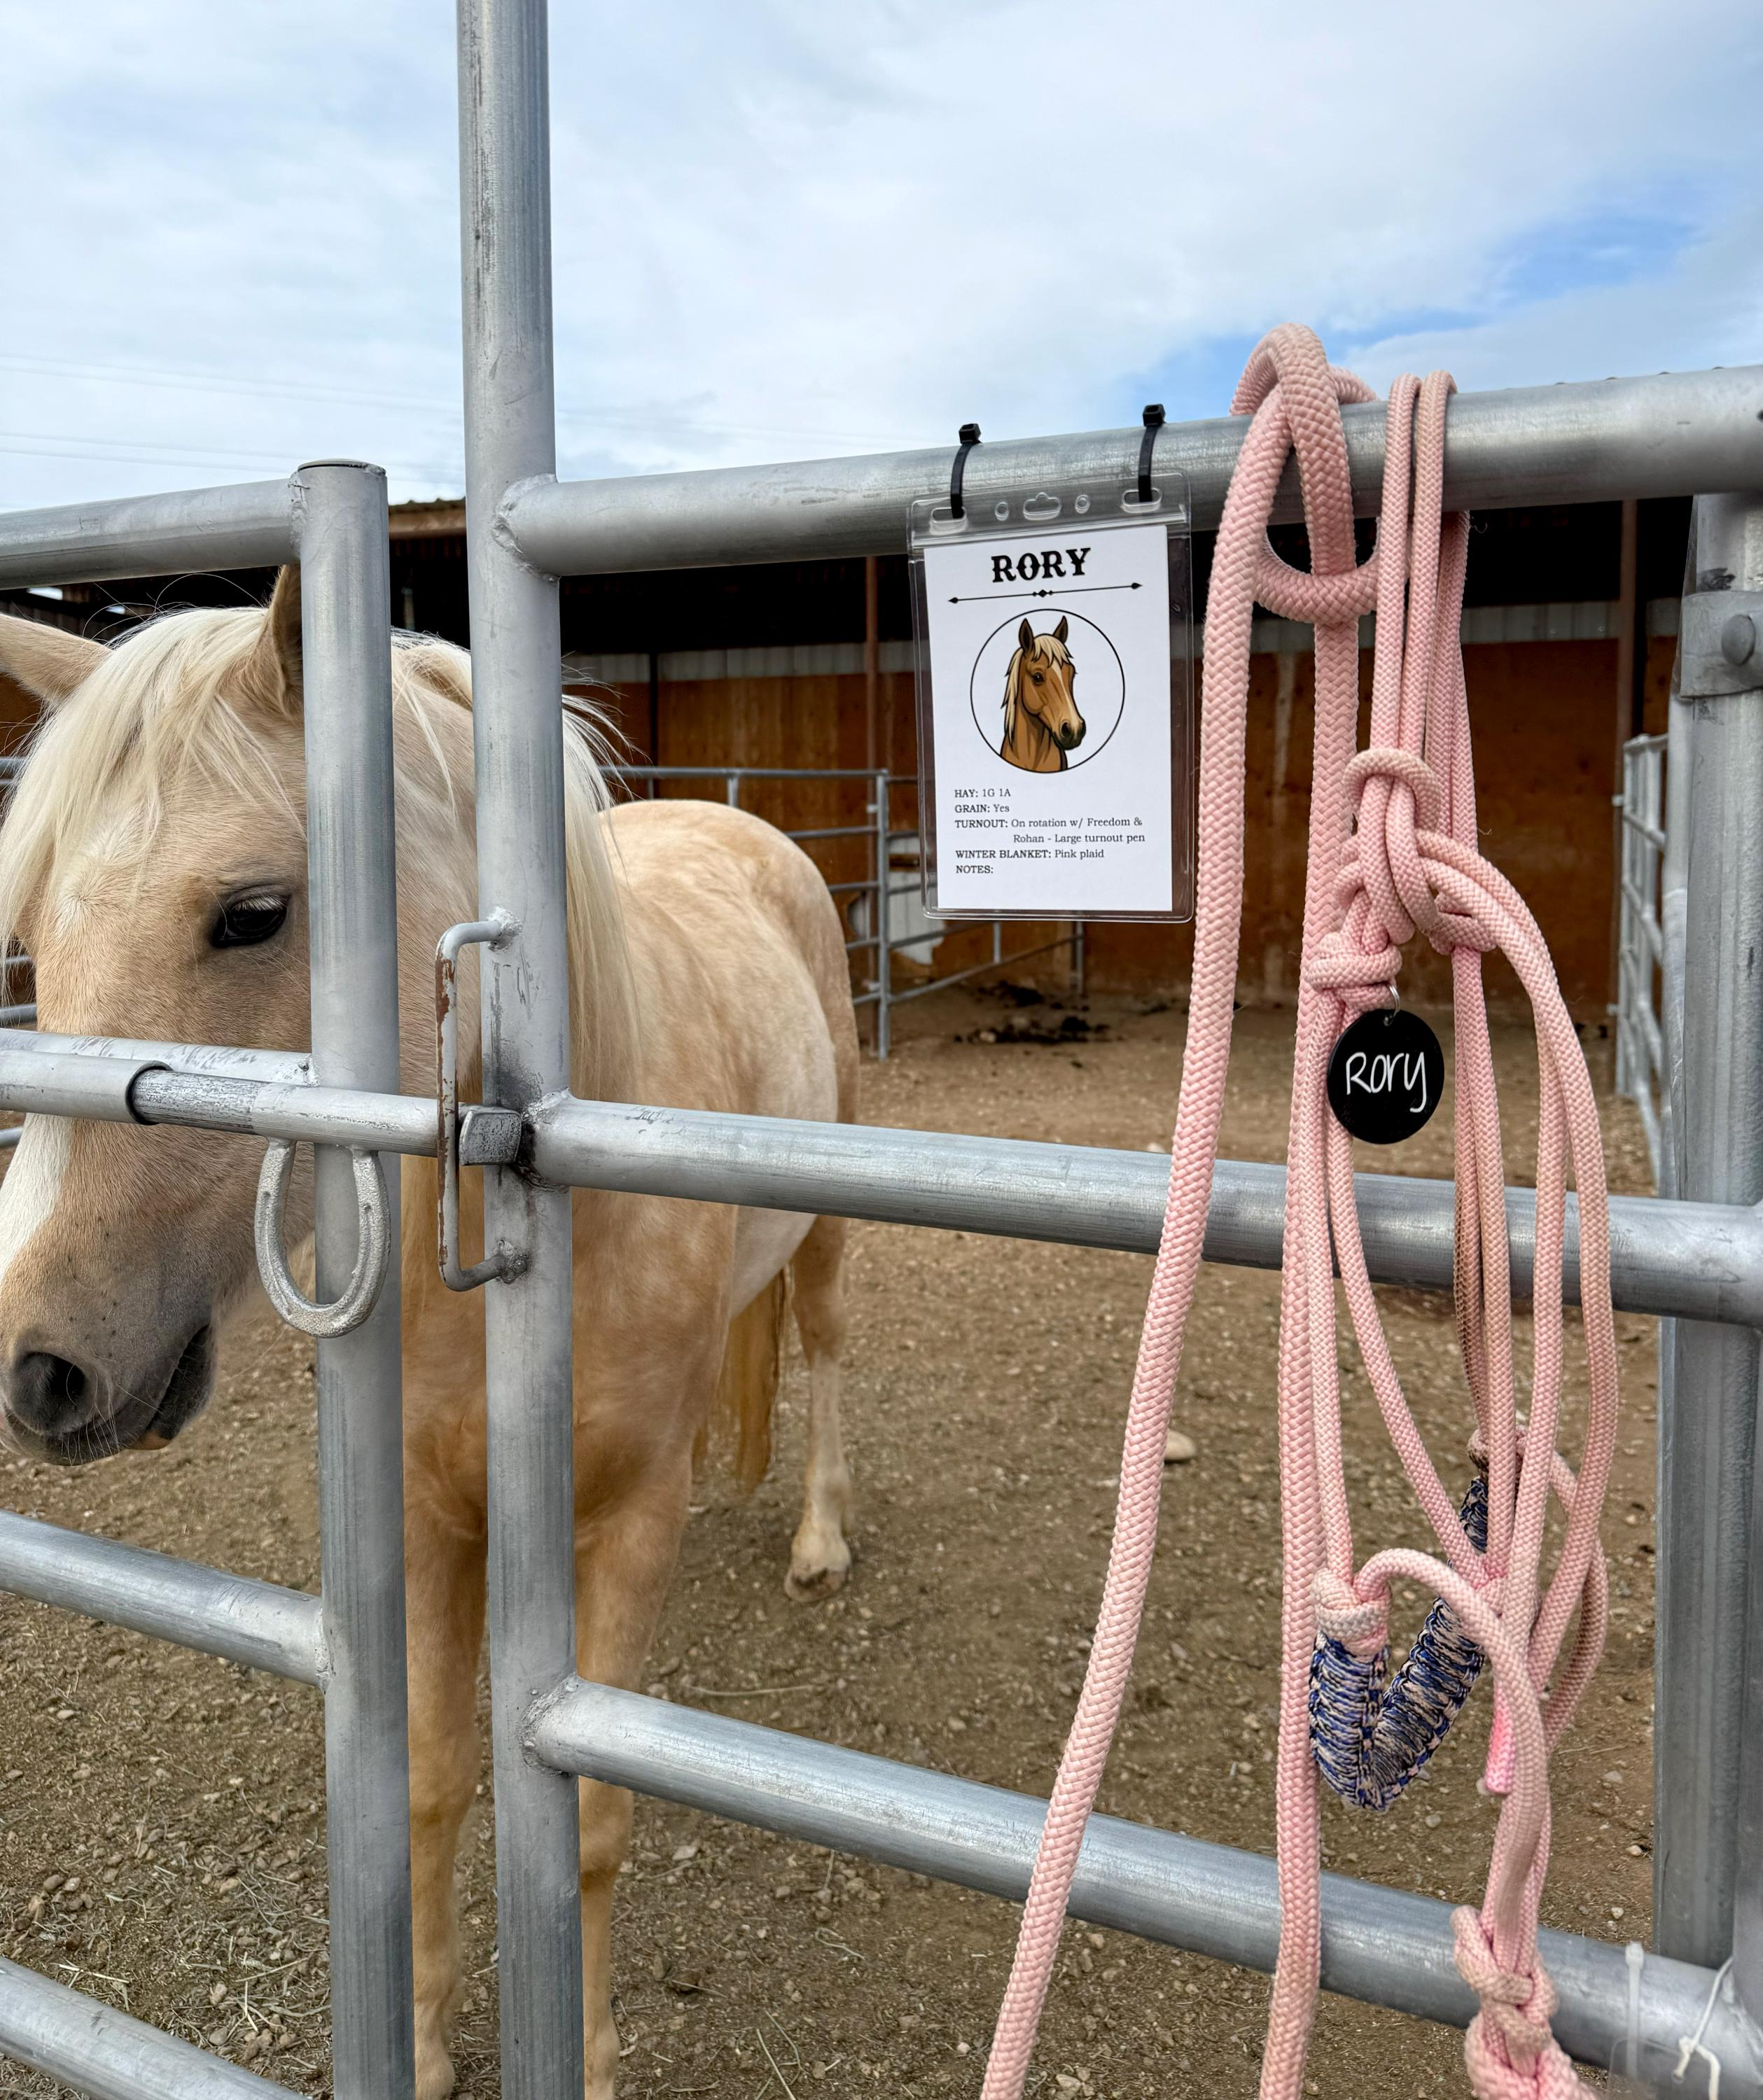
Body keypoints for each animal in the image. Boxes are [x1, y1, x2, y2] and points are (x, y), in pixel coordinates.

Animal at [0, 572, 860, 2100]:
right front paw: (423, 2043)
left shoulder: (631, 1523)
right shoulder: (423, 1520)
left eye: (253, 913)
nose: (38, 1368)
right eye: (36, 936)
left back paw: (819, 1536)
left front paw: (585, 2059)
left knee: (820, 1349)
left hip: (817, 1231)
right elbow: (430, 1784)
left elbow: (590, 1823)